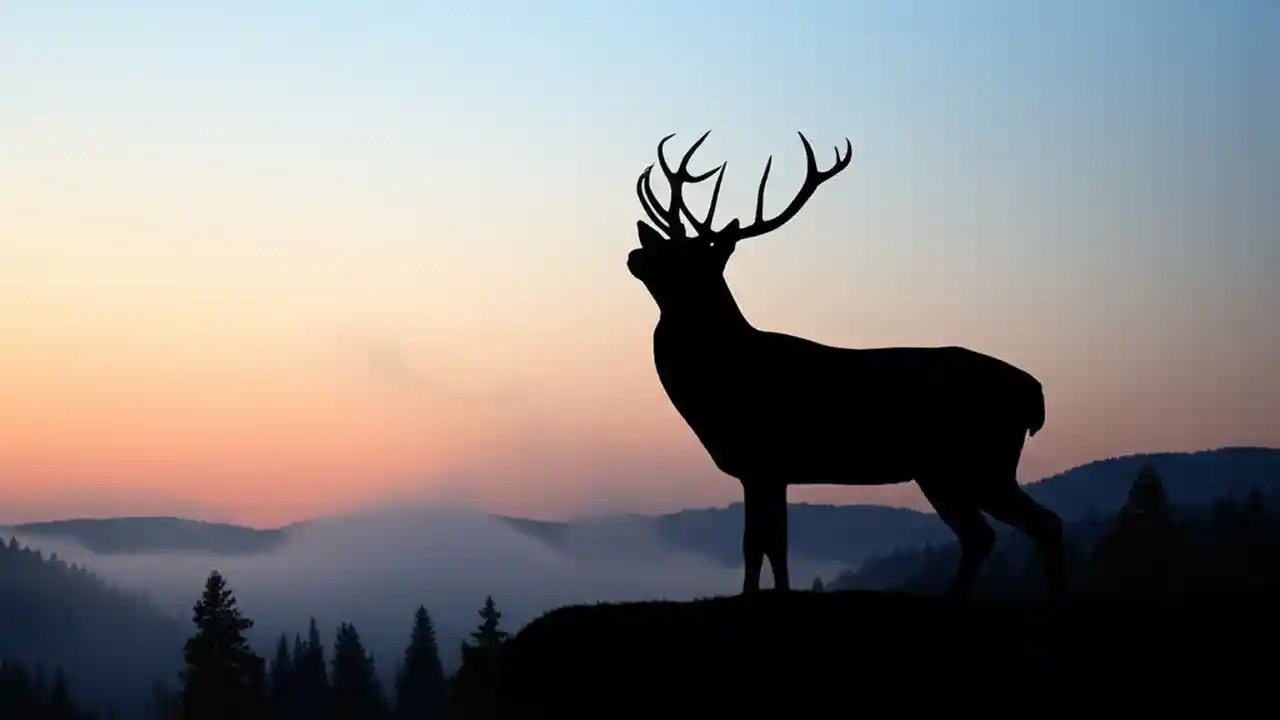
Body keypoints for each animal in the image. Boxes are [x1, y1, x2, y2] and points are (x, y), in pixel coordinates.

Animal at [627, 130, 1068, 600]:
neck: (722, 381)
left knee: (1032, 525)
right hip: (951, 469)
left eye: (690, 257)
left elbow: (762, 544)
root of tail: (1034, 394)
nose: (635, 254)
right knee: (990, 533)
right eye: (665, 242)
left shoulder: (766, 458)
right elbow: (767, 546)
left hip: (976, 460)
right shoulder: (764, 469)